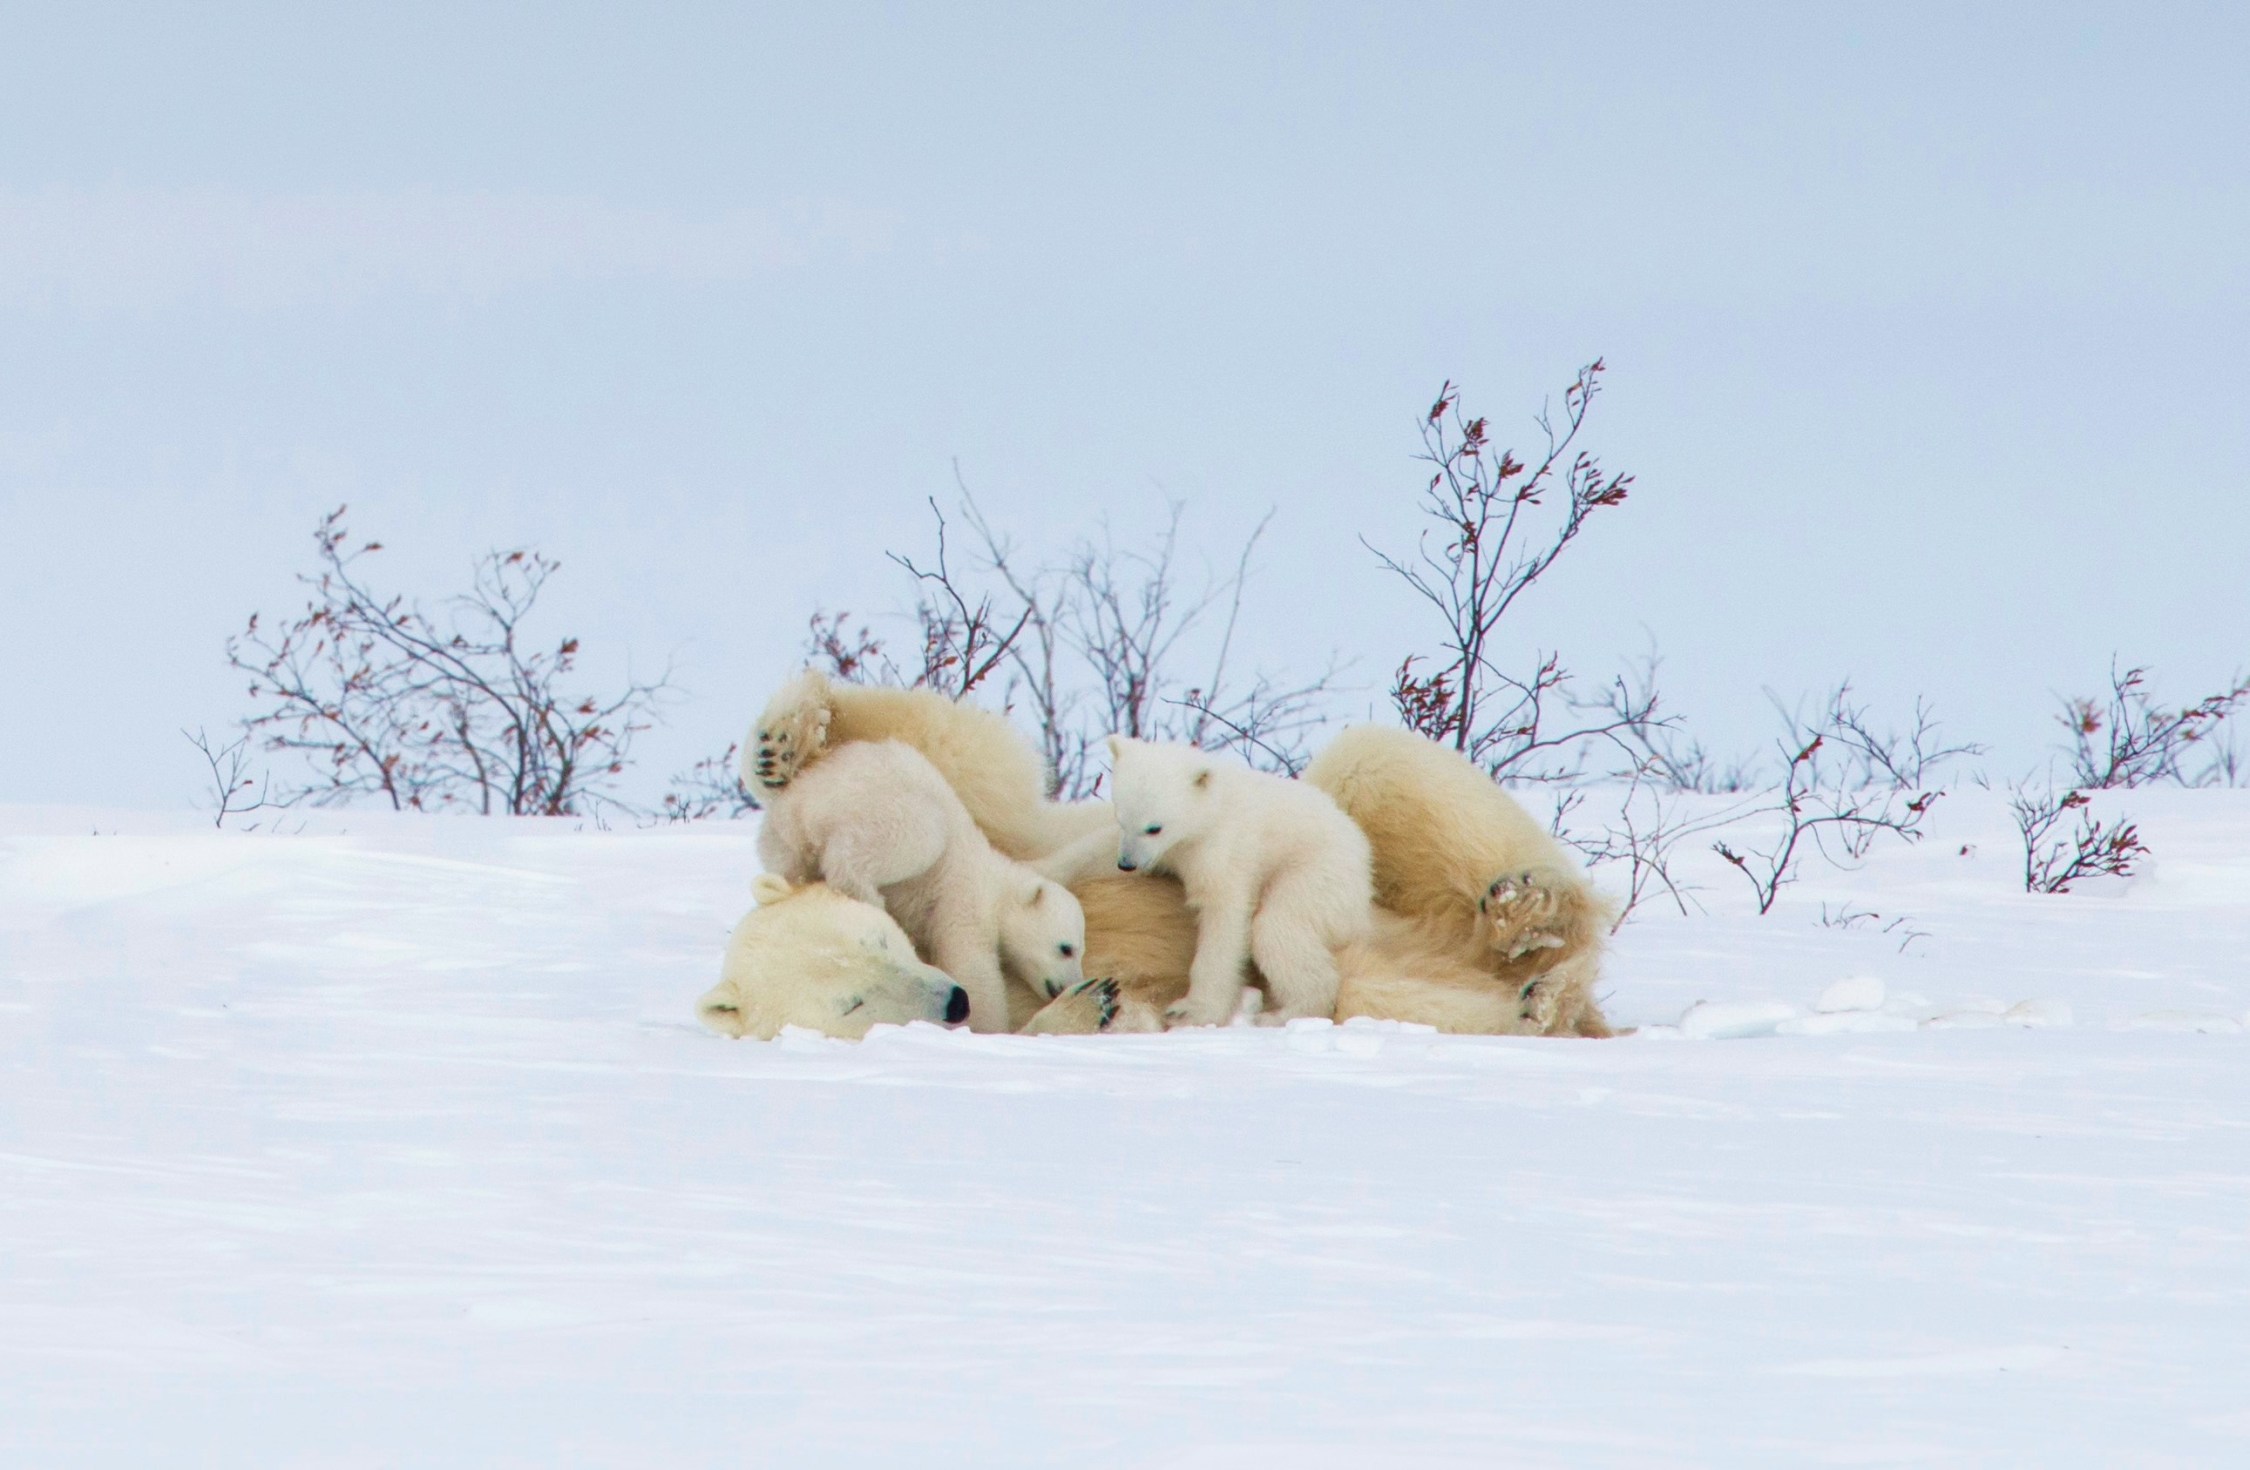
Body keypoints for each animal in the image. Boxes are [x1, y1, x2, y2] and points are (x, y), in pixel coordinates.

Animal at [755, 736, 1086, 1032]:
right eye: (1066, 948)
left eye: (1079, 950)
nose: (1069, 984)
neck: (996, 881)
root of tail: (803, 798)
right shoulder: (964, 896)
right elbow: (973, 965)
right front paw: (987, 1021)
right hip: (881, 804)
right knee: (903, 840)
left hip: (784, 840)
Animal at [1105, 734, 1375, 1027]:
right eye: (1120, 819)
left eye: (1154, 828)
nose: (1127, 864)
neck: (1211, 811)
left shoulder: (1222, 849)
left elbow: (1223, 915)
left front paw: (1192, 1010)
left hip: (1318, 874)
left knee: (1277, 927)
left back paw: (1283, 1015)